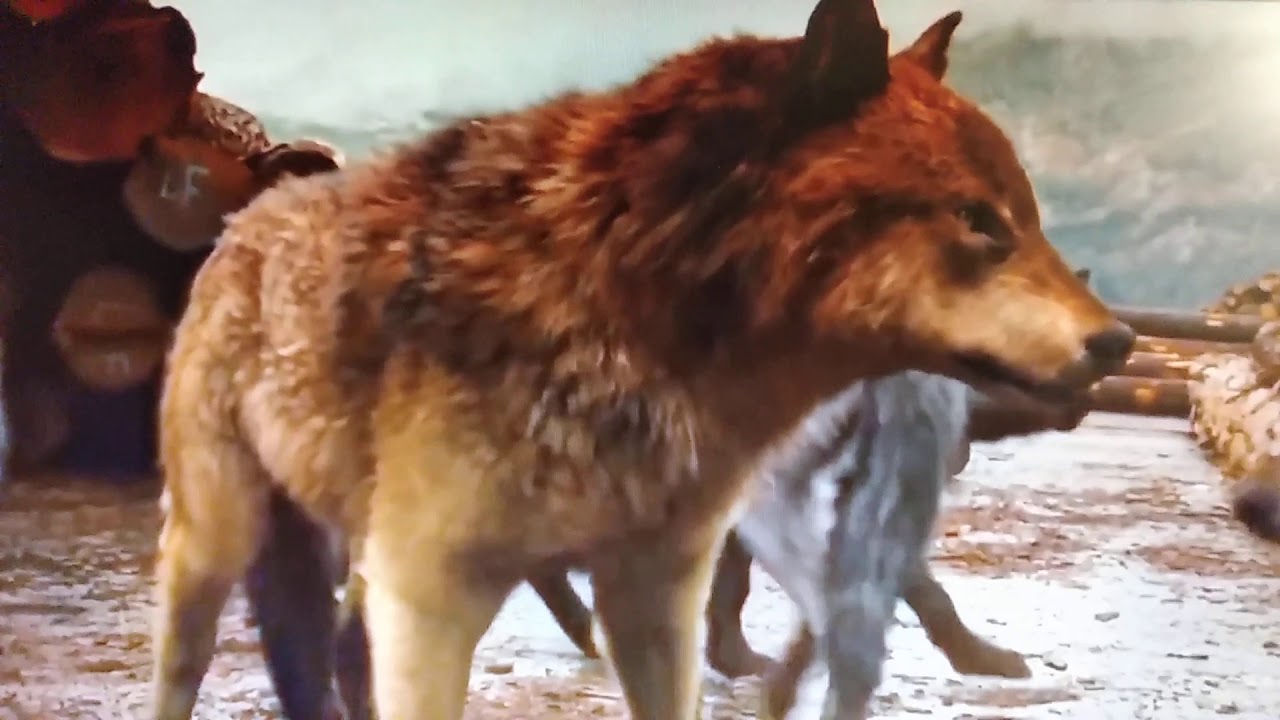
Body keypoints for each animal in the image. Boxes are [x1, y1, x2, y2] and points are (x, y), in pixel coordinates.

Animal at [149, 1, 1133, 719]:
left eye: (1028, 216)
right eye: (978, 222)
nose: (1118, 341)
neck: (617, 300)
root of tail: (243, 221)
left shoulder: (659, 593)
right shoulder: (432, 594)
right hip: (217, 546)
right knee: (189, 670)